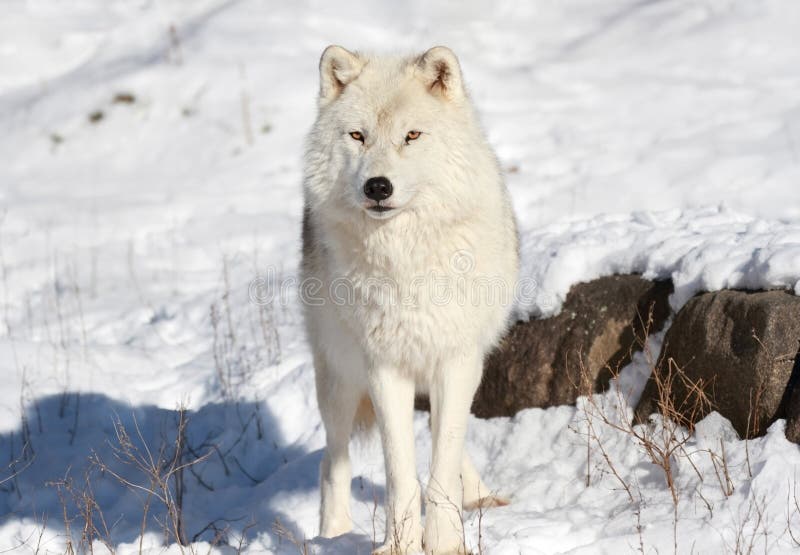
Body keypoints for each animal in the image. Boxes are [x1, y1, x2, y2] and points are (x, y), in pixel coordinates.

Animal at [301, 45, 519, 554]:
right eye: (358, 136)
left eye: (412, 135)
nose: (378, 186)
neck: (405, 259)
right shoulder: (384, 368)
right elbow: (401, 471)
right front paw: (399, 545)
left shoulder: (457, 359)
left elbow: (442, 461)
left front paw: (444, 542)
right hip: (339, 376)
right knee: (332, 460)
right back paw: (333, 534)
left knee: (448, 441)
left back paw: (480, 496)